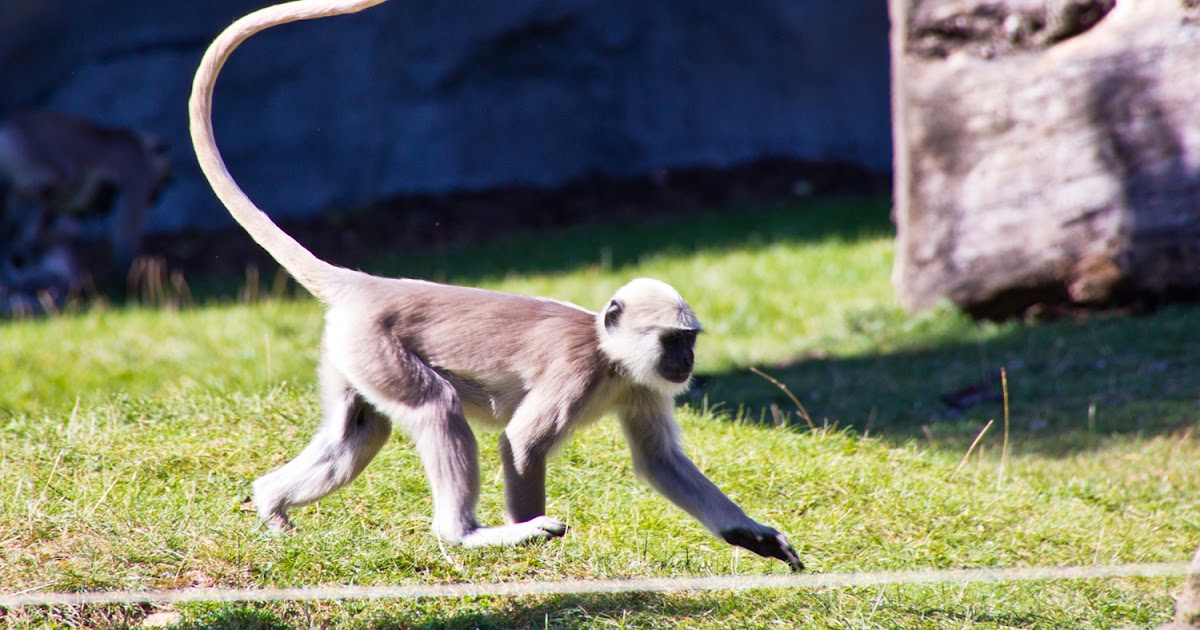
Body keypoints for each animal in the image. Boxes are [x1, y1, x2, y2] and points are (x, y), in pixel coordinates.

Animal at [0, 110, 172, 273]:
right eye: (162, 181)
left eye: (161, 186)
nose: (156, 197)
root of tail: (7, 129)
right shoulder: (133, 161)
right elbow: (128, 224)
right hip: (35, 156)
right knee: (55, 179)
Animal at [188, 0, 802, 571]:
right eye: (674, 341)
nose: (685, 363)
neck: (607, 355)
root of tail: (369, 285)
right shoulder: (576, 373)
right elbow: (522, 442)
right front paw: (535, 535)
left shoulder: (642, 385)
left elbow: (659, 463)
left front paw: (754, 537)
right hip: (376, 348)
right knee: (435, 407)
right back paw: (466, 535)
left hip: (352, 355)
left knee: (357, 434)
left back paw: (272, 505)